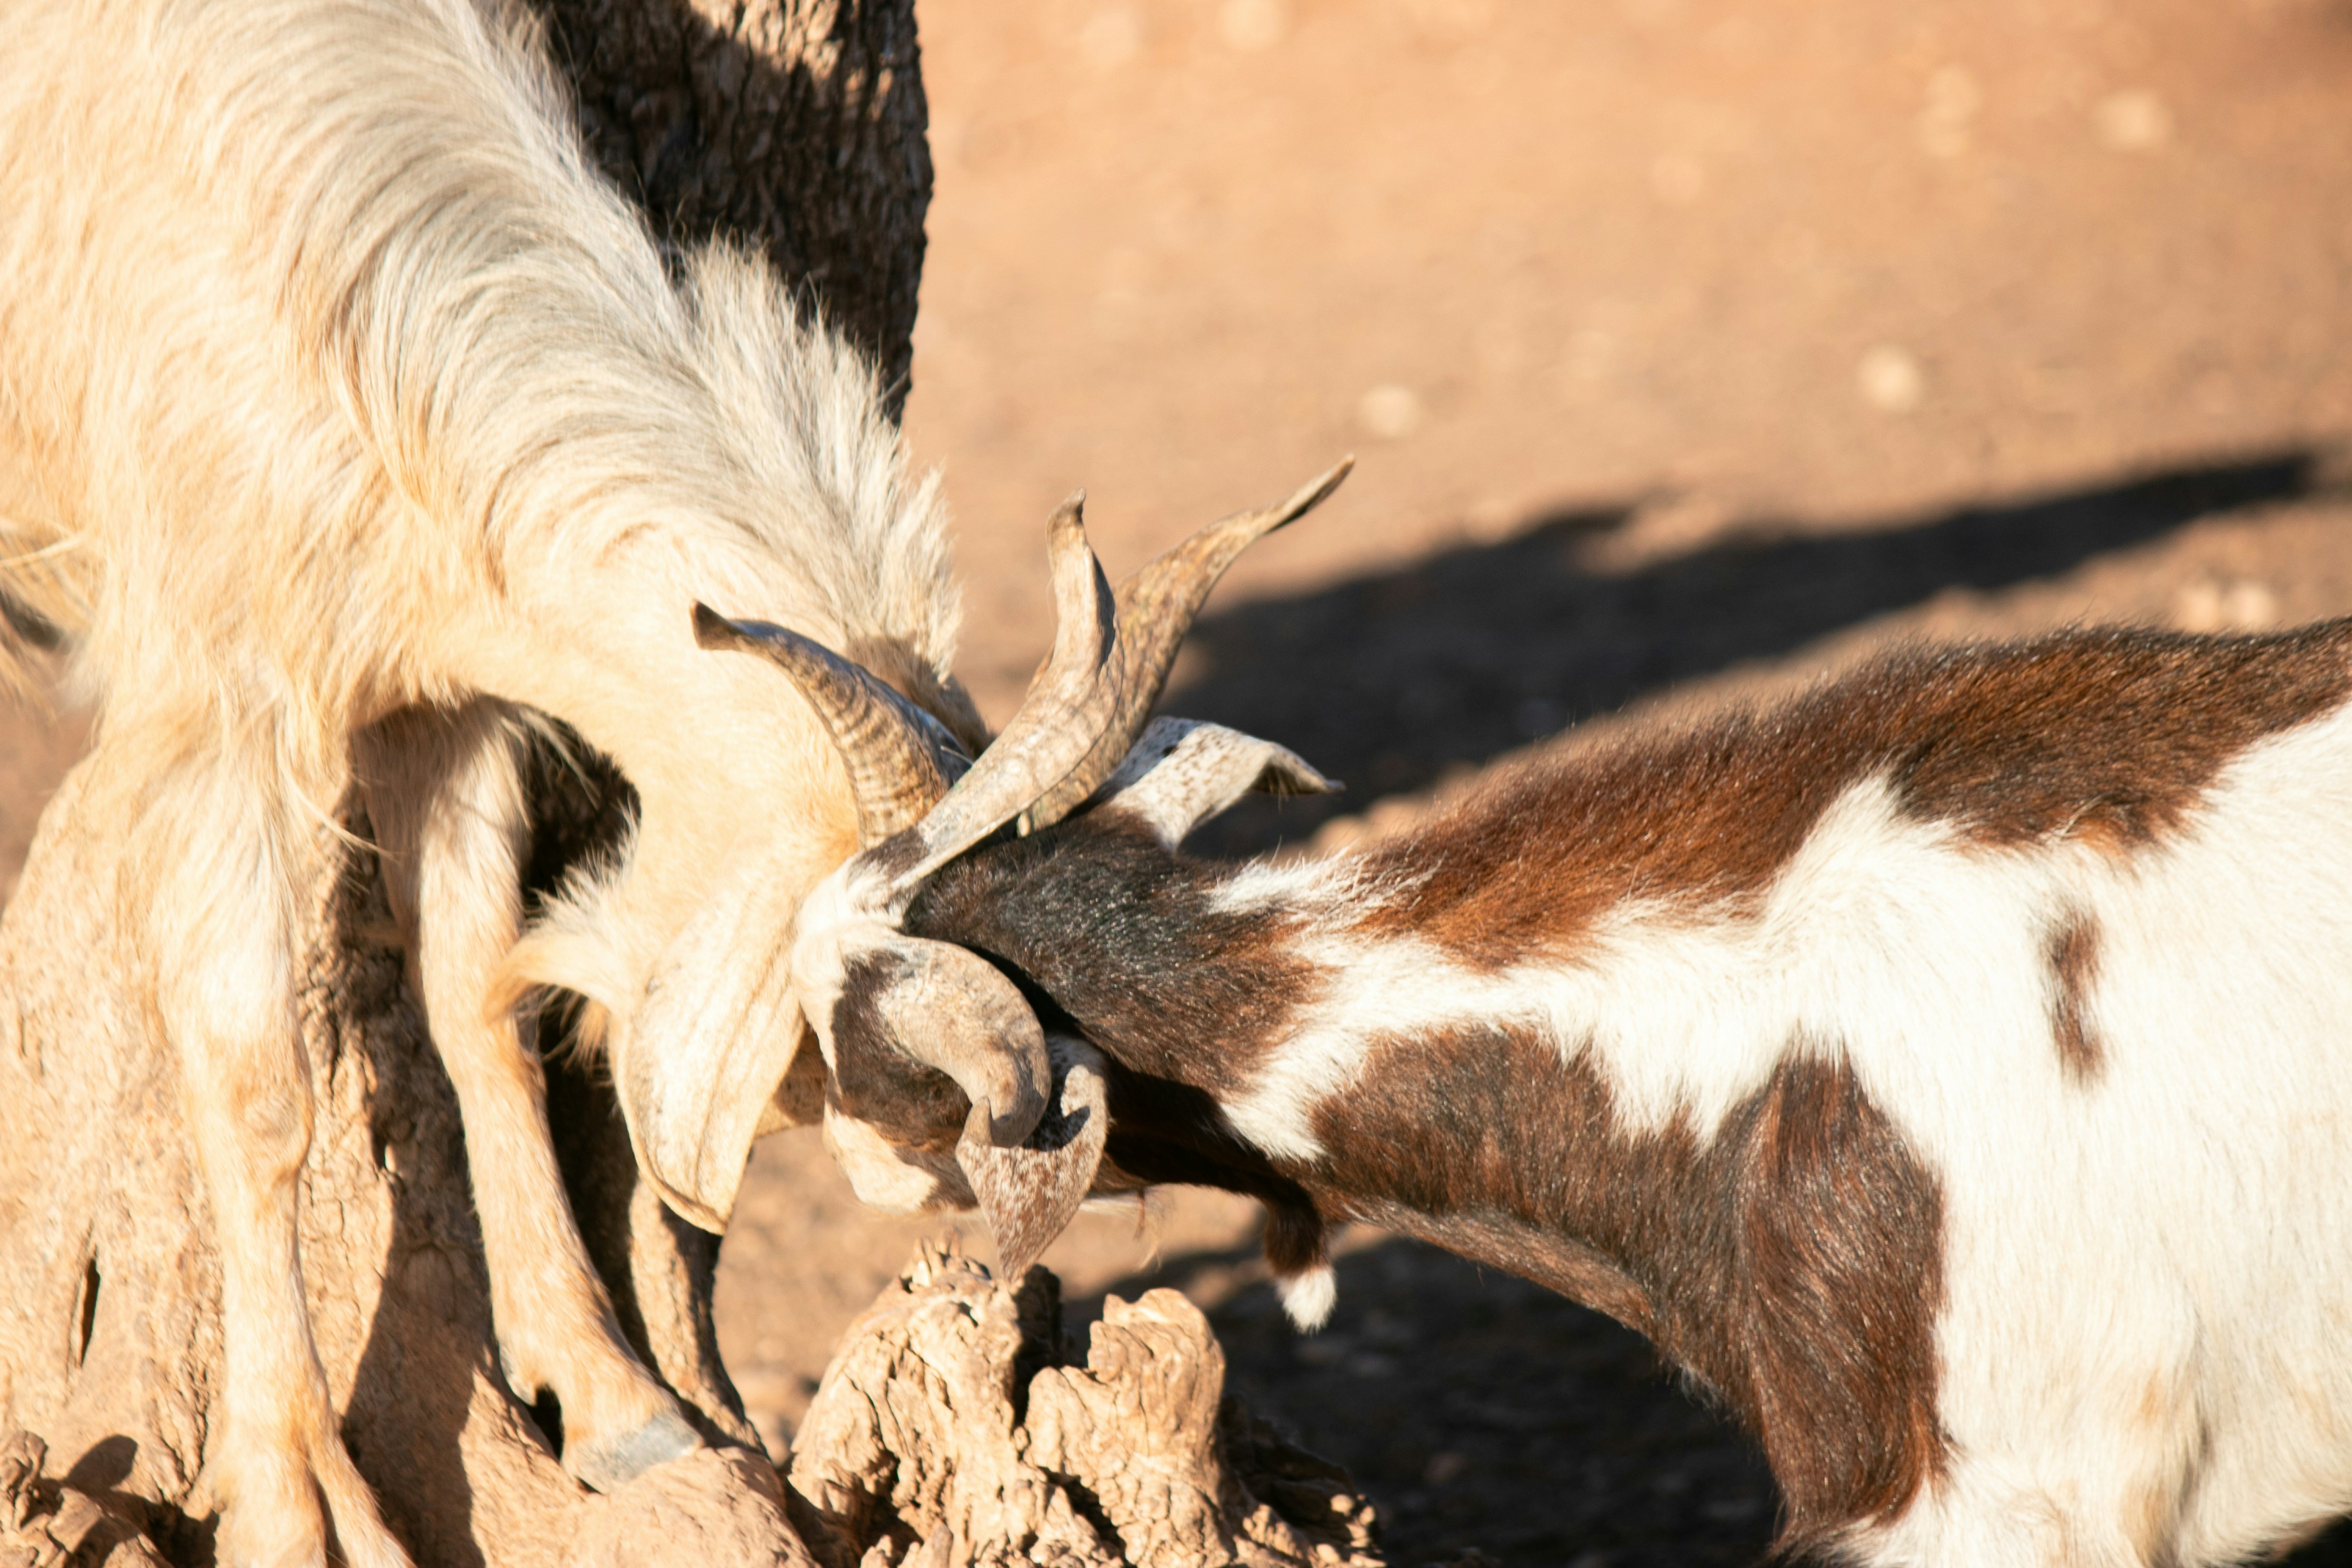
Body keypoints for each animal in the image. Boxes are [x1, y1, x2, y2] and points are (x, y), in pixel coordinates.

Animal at [0, 1, 1331, 1560]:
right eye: (886, 1040)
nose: (922, 1189)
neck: (341, 286)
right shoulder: (212, 698)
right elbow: (261, 1087)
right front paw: (285, 1508)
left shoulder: (444, 679)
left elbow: (478, 992)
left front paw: (615, 1403)